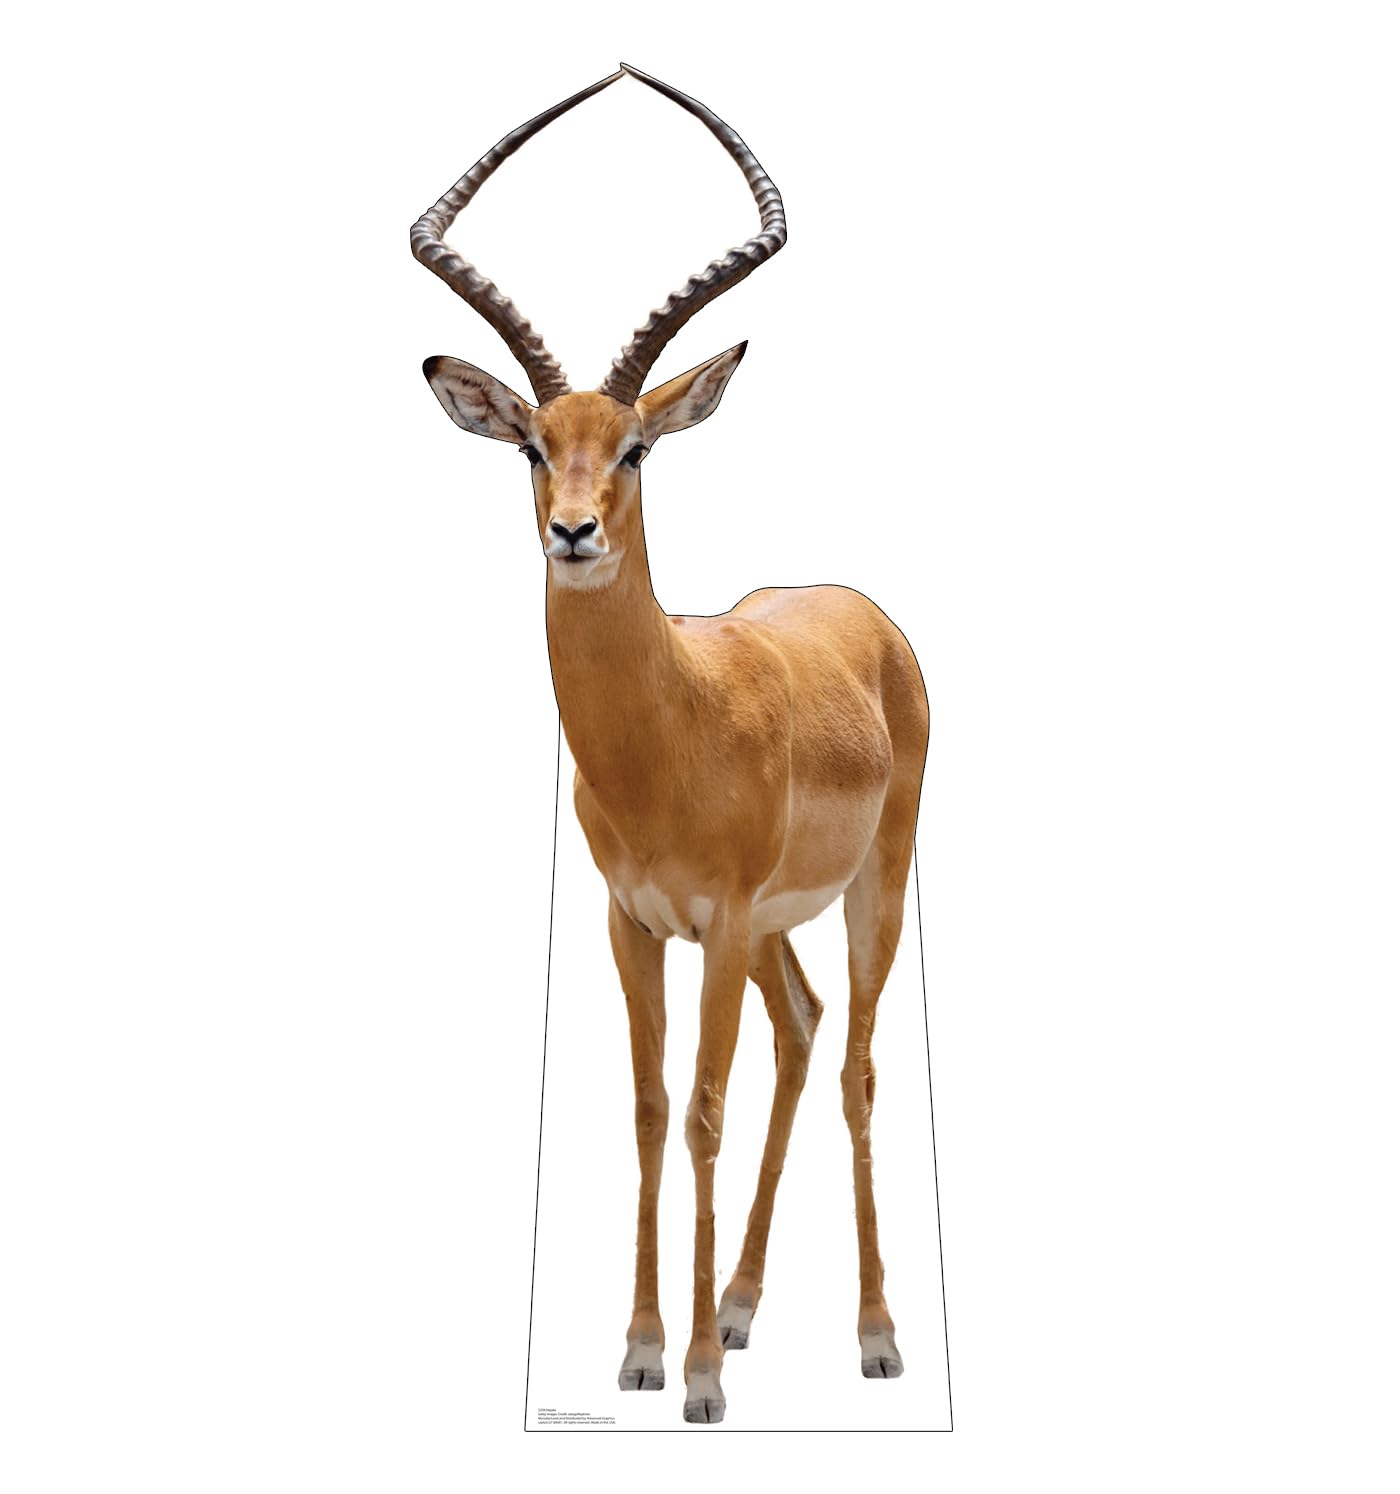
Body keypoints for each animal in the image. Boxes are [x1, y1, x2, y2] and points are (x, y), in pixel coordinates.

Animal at [413, 65, 929, 1425]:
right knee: (802, 1031)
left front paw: (693, 1377)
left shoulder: (719, 920)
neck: (673, 727)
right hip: (767, 934)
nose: (573, 531)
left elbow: (700, 1111)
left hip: (869, 890)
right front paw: (647, 1350)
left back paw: (873, 1338)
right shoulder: (636, 922)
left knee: (853, 1062)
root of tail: (860, 612)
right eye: (534, 444)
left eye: (635, 444)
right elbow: (649, 1111)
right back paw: (744, 1309)